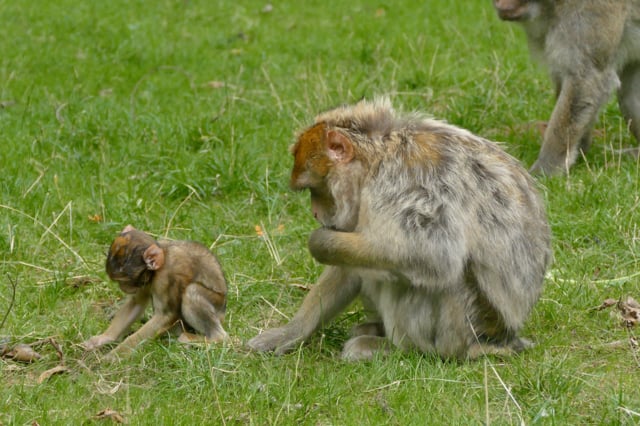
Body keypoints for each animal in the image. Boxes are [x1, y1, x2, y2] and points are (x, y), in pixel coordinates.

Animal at [82, 225, 228, 359]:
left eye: (123, 281)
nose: (122, 288)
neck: (159, 267)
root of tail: (223, 313)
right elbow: (136, 303)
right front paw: (104, 338)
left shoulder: (166, 278)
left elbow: (165, 315)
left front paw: (115, 355)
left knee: (192, 291)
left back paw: (213, 338)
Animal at [247, 97, 552, 361]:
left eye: (315, 189)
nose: (315, 212)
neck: (376, 156)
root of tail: (502, 338)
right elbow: (348, 267)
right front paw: (291, 332)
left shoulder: (404, 184)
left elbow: (435, 256)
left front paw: (319, 242)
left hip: (464, 326)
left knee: (422, 276)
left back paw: (397, 348)